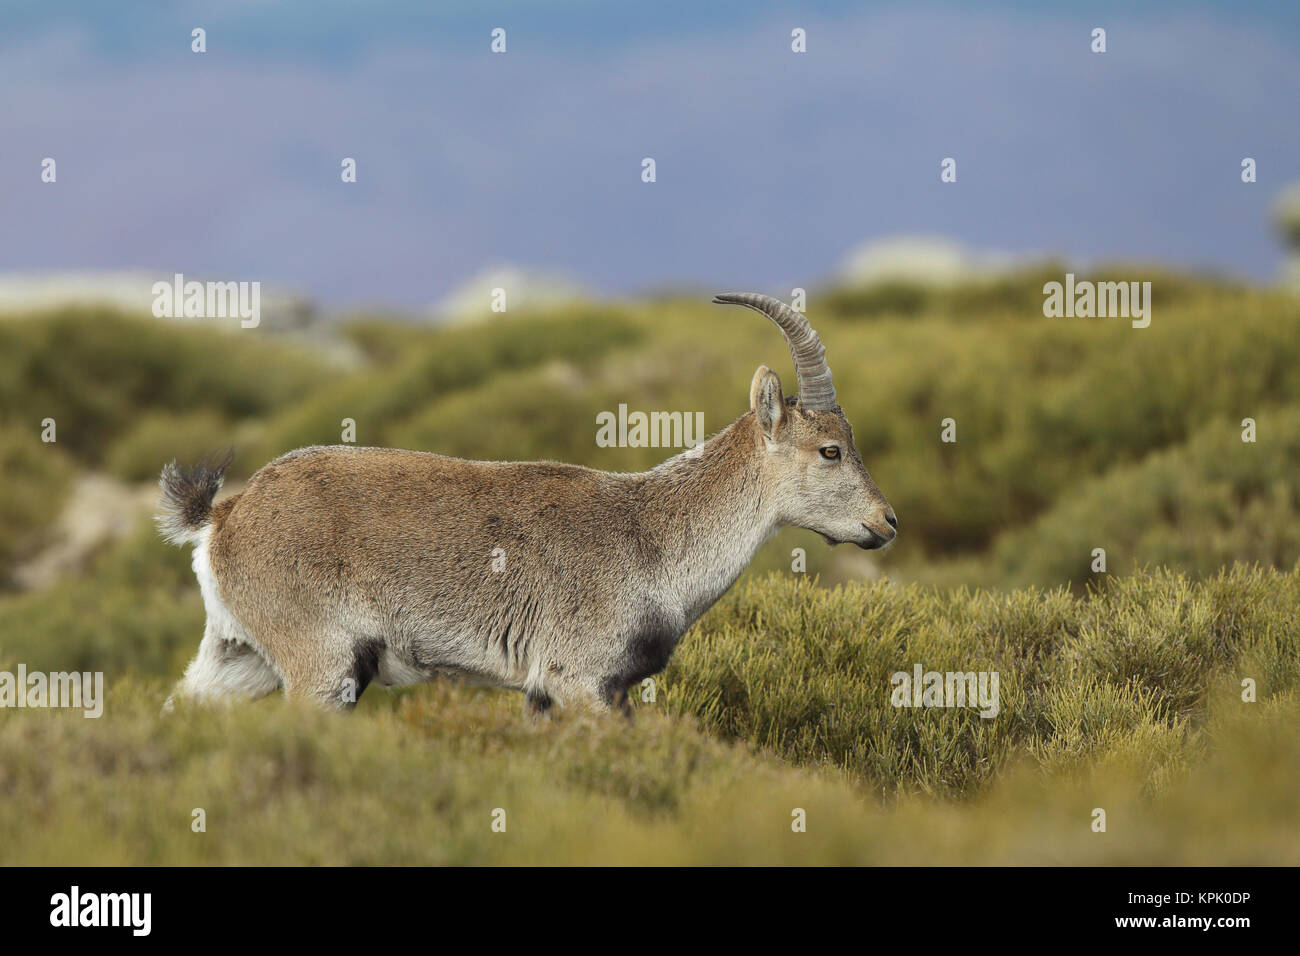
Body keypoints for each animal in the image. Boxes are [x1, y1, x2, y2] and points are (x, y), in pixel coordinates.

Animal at [158, 293, 897, 714]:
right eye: (830, 449)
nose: (886, 522)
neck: (654, 538)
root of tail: (224, 517)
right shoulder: (582, 679)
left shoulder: (551, 694)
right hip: (322, 662)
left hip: (237, 654)